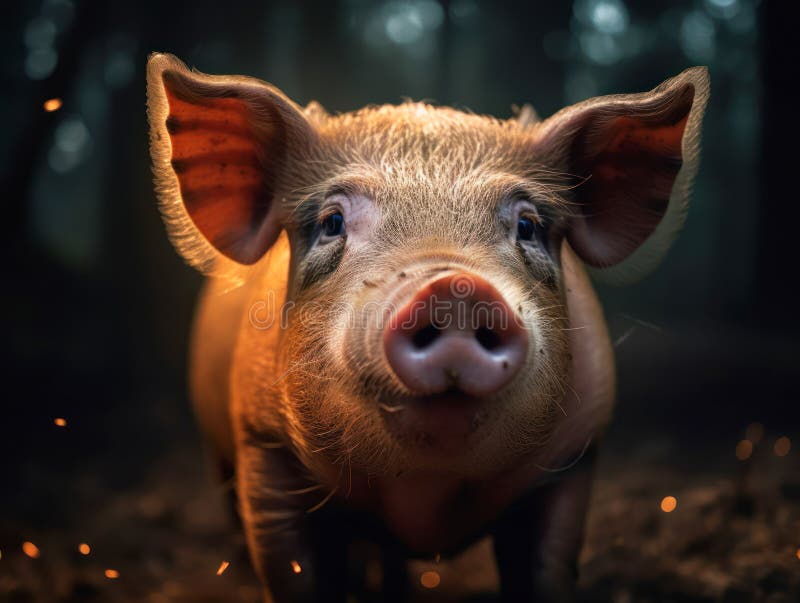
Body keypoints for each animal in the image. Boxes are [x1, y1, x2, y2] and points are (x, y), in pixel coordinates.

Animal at [146, 53, 708, 602]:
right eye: (332, 222)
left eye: (528, 226)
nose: (455, 289)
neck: (424, 496)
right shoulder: (263, 446)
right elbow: (295, 576)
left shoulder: (575, 457)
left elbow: (545, 571)